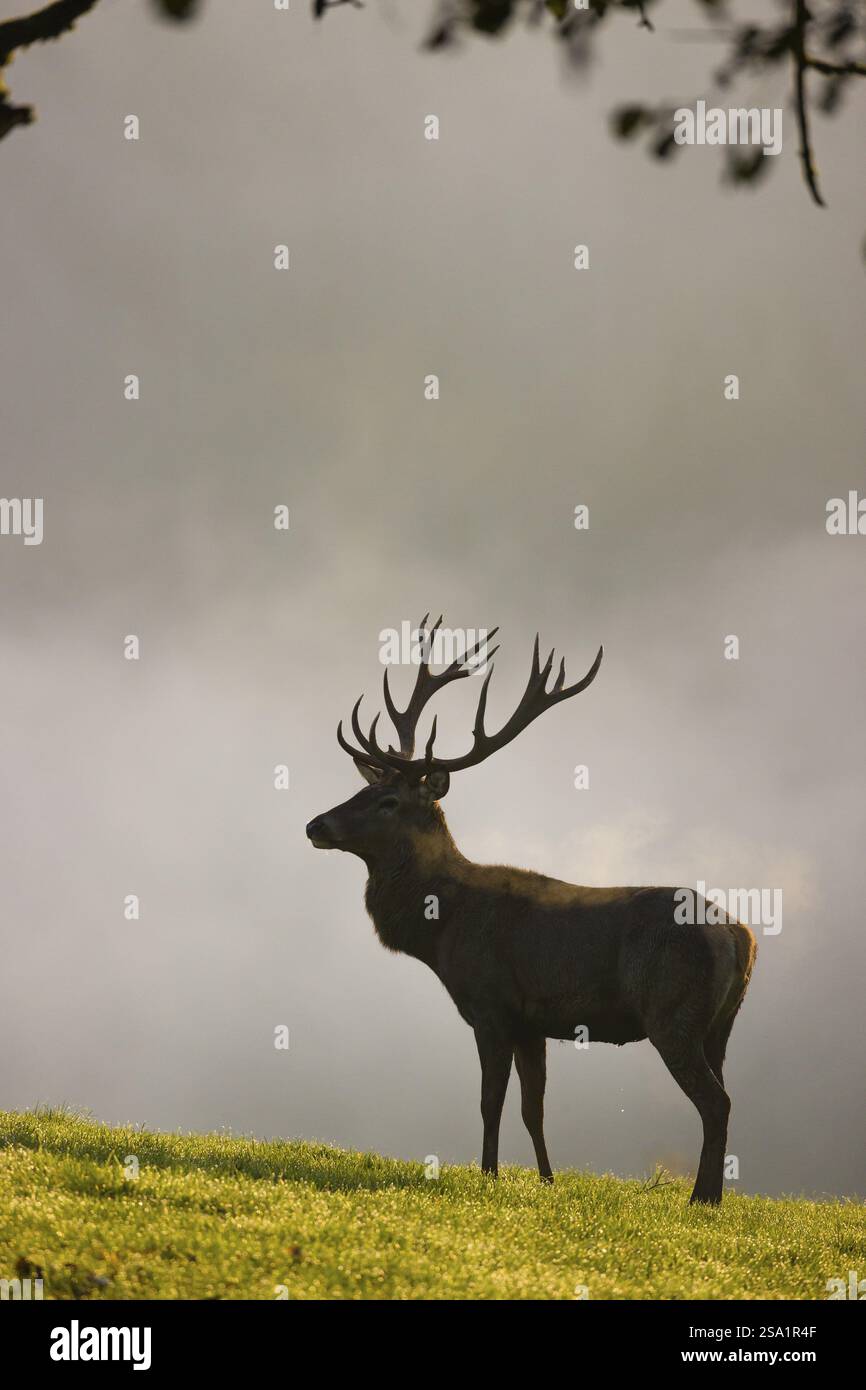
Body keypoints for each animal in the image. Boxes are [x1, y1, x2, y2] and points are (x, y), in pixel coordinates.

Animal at [306, 618, 757, 1205]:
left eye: (388, 802)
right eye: (361, 789)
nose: (315, 825)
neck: (442, 928)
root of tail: (741, 935)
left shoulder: (491, 1005)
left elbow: (490, 1102)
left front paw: (488, 1176)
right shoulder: (532, 1022)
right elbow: (533, 1108)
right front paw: (546, 1179)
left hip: (673, 1013)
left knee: (715, 1101)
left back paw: (702, 1198)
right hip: (720, 1024)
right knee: (723, 1094)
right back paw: (709, 1196)